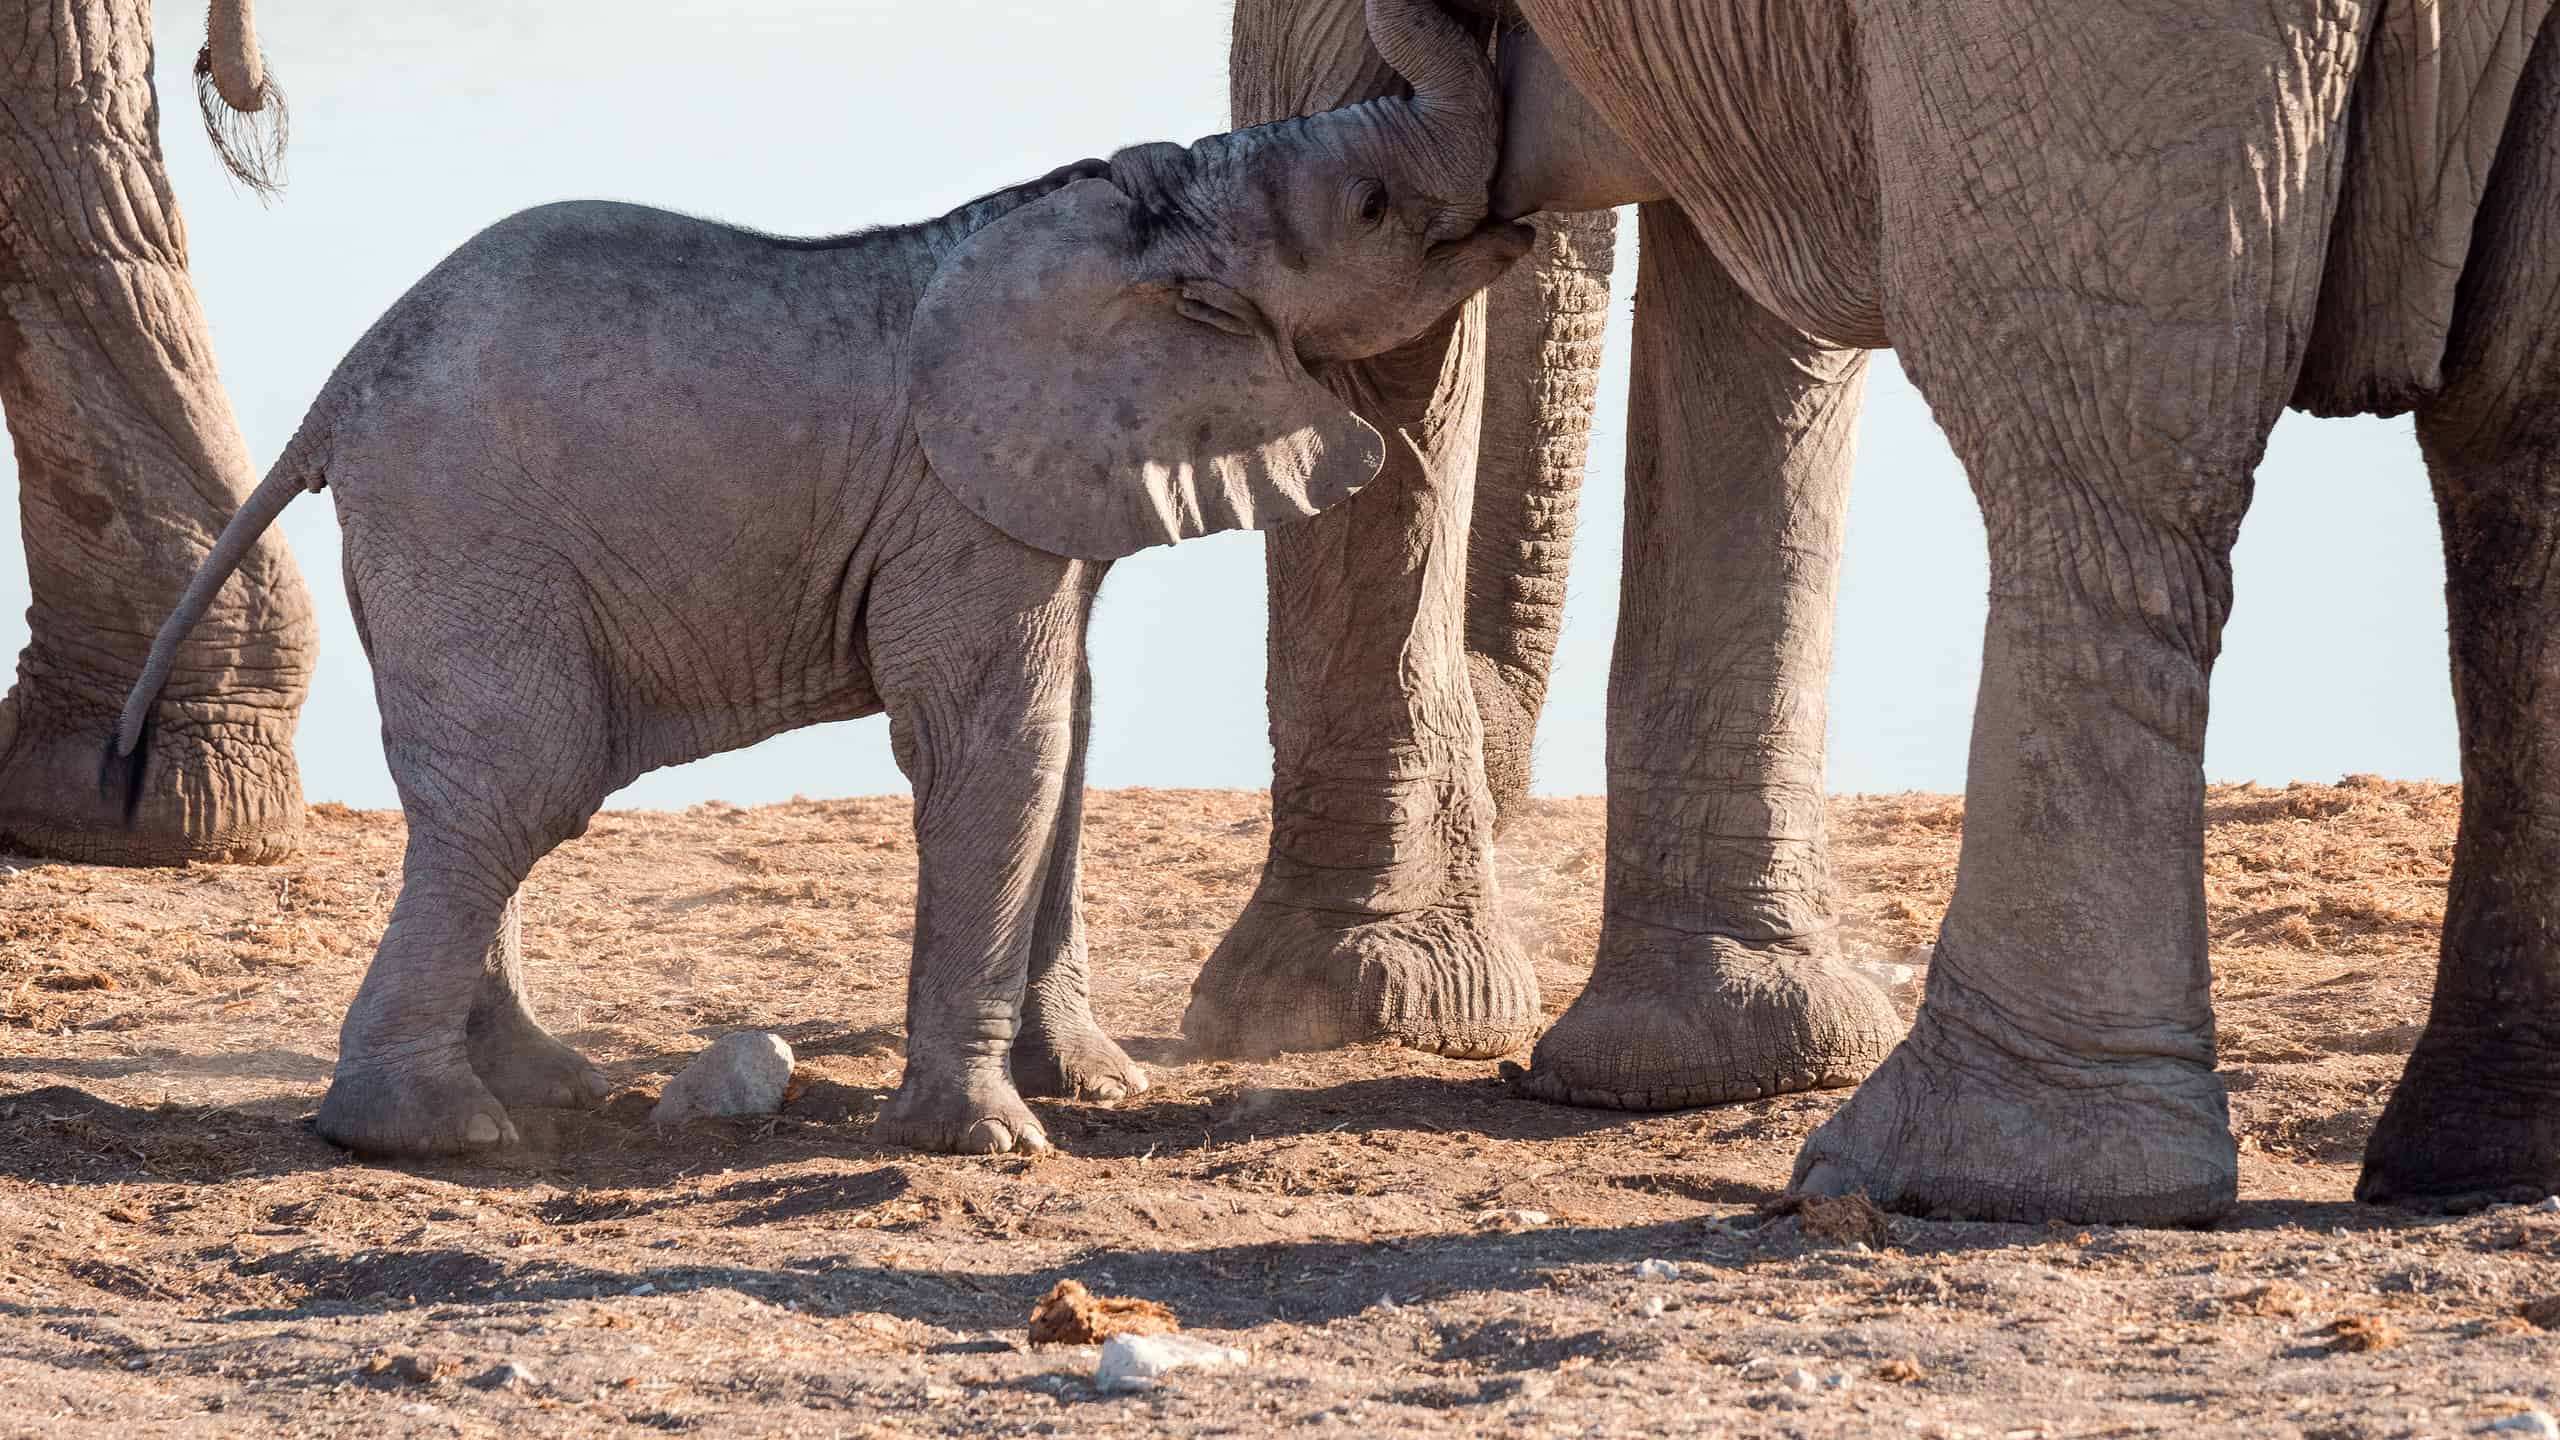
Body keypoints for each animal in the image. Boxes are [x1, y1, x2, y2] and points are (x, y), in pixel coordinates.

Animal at [106, 0, 1531, 1160]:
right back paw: (434, 1133)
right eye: (1369, 208)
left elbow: (1065, 748)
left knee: (477, 801)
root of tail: (337, 391)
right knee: (523, 784)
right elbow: (999, 746)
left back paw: (546, 1088)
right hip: (467, 526)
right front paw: (990, 1142)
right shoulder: (958, 507)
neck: (1136, 216)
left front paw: (1096, 1089)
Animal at [1196, 0, 2560, 1223]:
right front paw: (1714, 1061)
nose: (1462, 34)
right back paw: (2476, 1163)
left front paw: (1331, 1004)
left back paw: (1974, 1176)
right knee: (2515, 439)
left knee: (2094, 450)